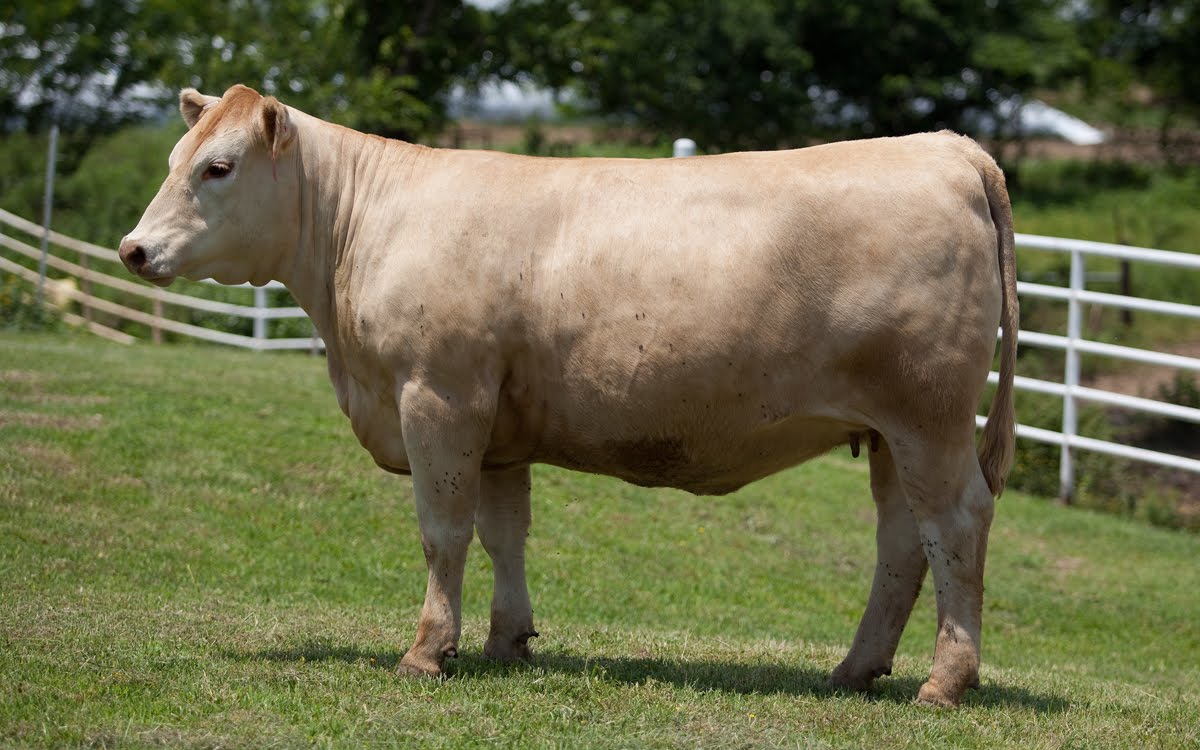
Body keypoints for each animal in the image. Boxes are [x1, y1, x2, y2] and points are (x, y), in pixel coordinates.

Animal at [120, 84, 1017, 707]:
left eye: (218, 167)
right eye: (171, 160)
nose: (132, 248)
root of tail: (946, 149)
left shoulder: (438, 397)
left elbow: (443, 534)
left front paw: (426, 651)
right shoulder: (497, 426)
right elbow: (502, 533)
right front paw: (505, 641)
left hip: (930, 418)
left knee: (955, 525)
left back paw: (945, 681)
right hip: (892, 433)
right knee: (902, 543)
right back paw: (855, 669)